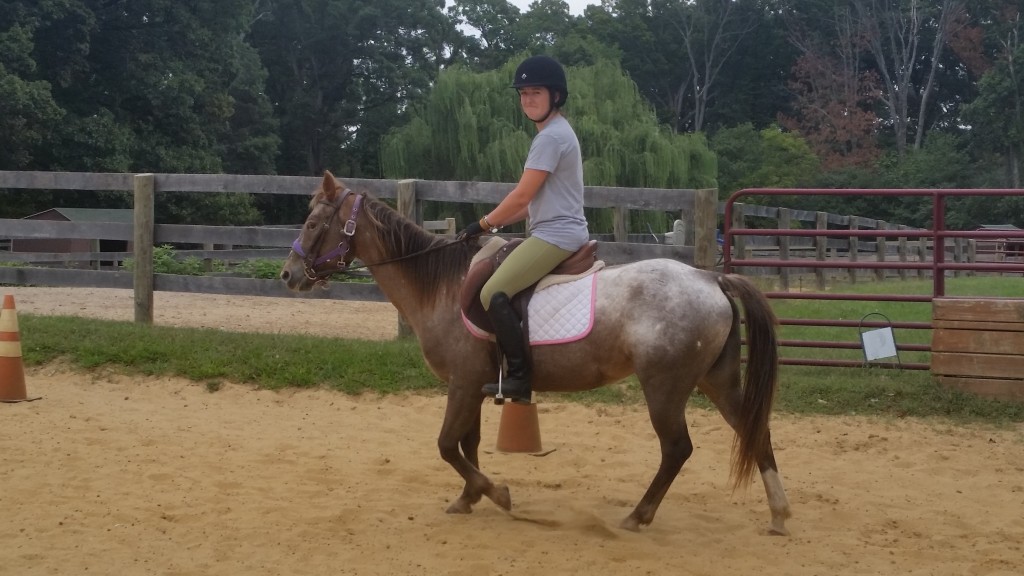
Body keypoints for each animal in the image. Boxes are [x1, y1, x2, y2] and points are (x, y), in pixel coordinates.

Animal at [279, 171, 792, 535]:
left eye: (313, 223)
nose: (288, 274)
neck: (441, 284)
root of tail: (711, 277)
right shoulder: (476, 385)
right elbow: (468, 443)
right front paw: (469, 497)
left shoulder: (462, 384)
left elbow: (446, 445)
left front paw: (495, 493)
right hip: (717, 381)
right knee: (755, 432)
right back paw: (779, 515)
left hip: (664, 388)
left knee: (677, 450)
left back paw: (639, 515)